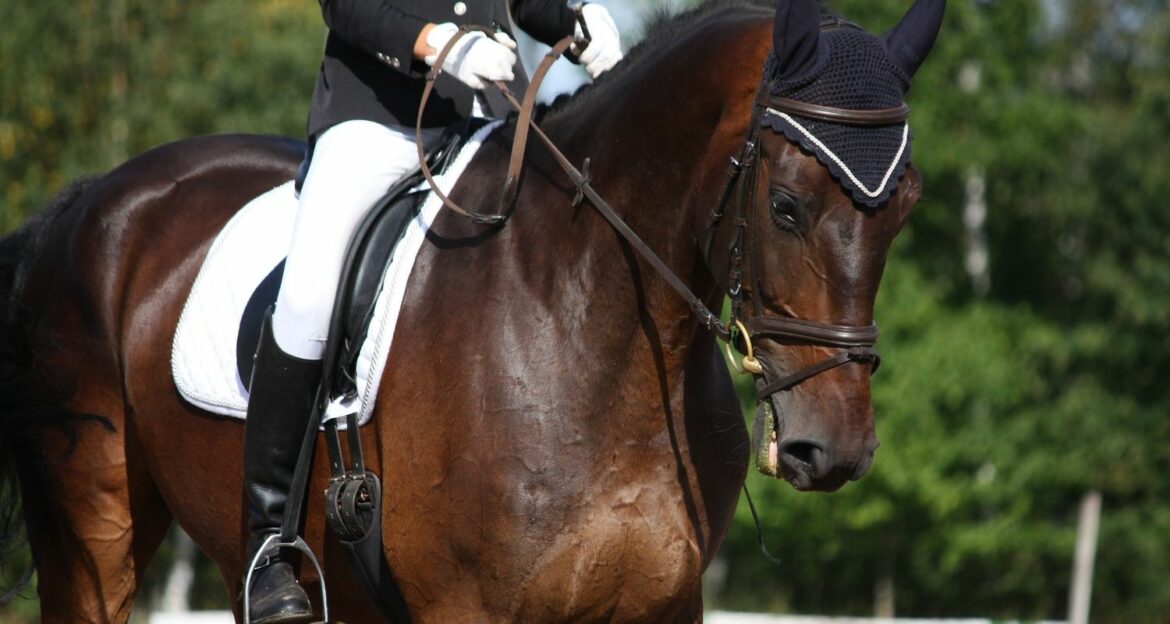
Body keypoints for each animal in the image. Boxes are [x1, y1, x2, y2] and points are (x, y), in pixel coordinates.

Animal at [0, 0, 941, 621]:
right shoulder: (467, 608)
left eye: (905, 207)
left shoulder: (662, 605)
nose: (835, 449)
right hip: (93, 539)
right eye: (785, 206)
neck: (588, 328)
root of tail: (91, 199)